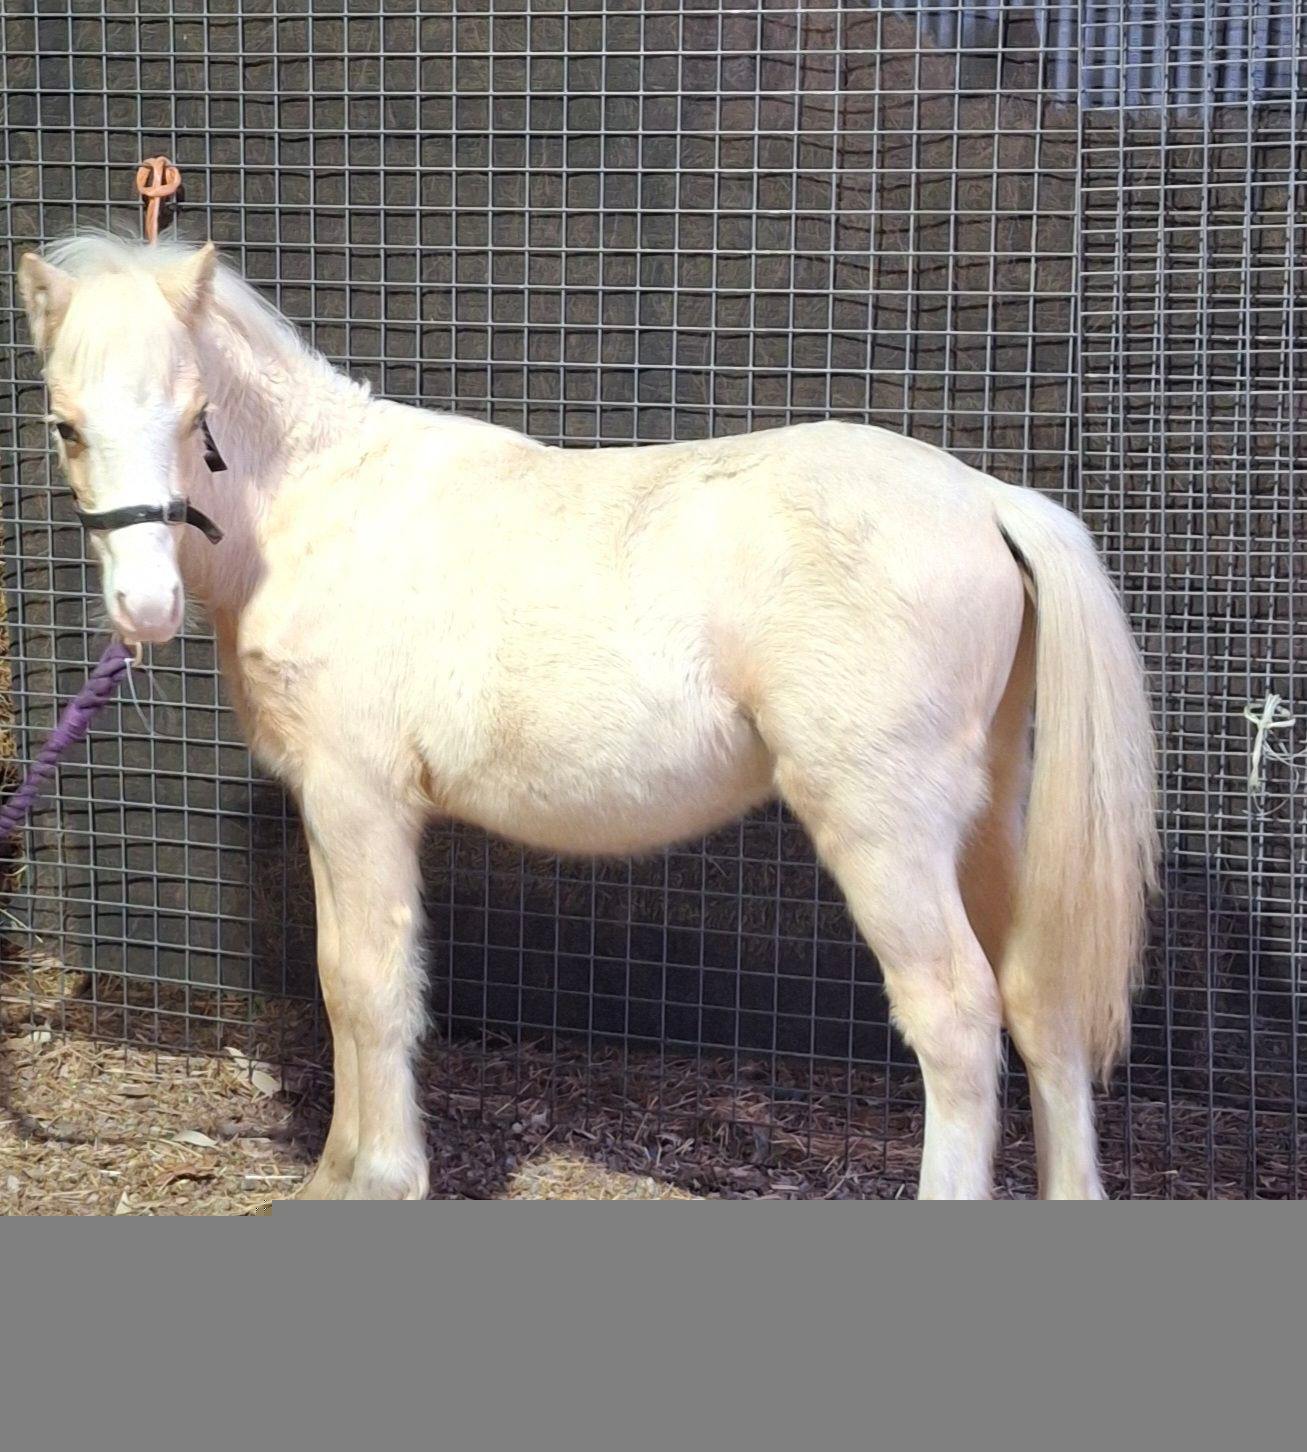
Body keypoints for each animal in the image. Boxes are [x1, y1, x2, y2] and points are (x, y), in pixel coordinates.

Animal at [17, 235, 1158, 1200]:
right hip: (988, 819)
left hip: (884, 830)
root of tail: (985, 497)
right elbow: (339, 980)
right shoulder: (328, 804)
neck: (313, 512)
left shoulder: (359, 797)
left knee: (956, 1018)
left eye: (192, 418)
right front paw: (336, 1171)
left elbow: (370, 980)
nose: (144, 608)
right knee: (1038, 998)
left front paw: (379, 1177)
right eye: (65, 427)